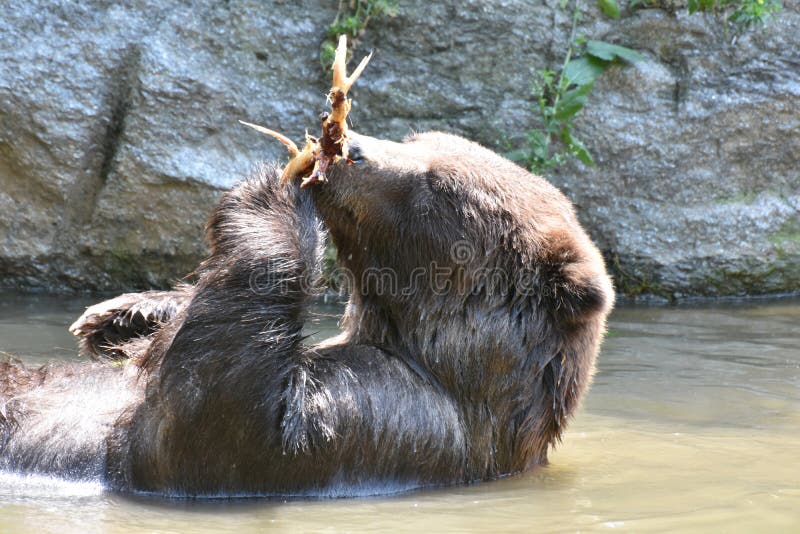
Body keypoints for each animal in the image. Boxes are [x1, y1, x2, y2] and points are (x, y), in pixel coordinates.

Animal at [0, 131, 614, 497]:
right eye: (418, 139)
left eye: (439, 183)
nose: (350, 148)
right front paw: (119, 317)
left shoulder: (396, 420)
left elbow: (217, 422)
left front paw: (272, 189)